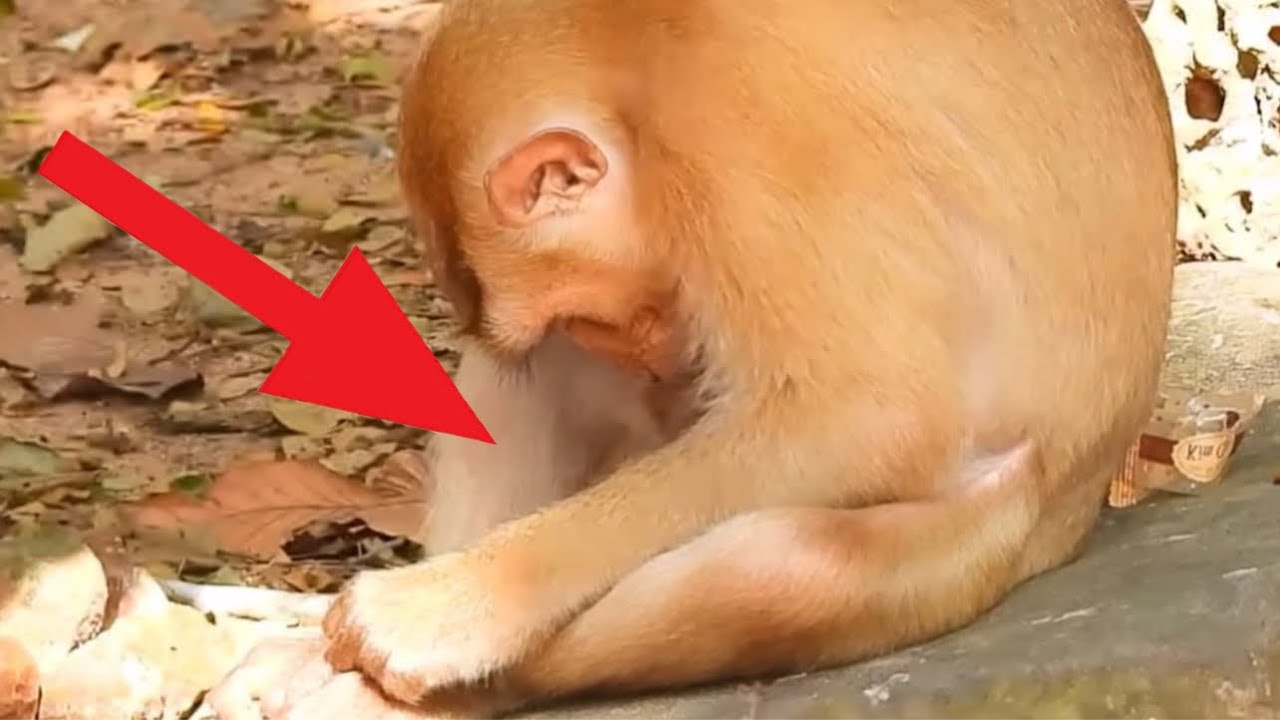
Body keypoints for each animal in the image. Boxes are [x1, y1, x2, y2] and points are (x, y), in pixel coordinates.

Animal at [206, 0, 1178, 717]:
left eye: (591, 316)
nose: (658, 373)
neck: (632, 62)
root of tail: (1080, 515)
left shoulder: (746, 144)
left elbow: (877, 414)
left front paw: (438, 612)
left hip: (980, 546)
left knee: (788, 570)